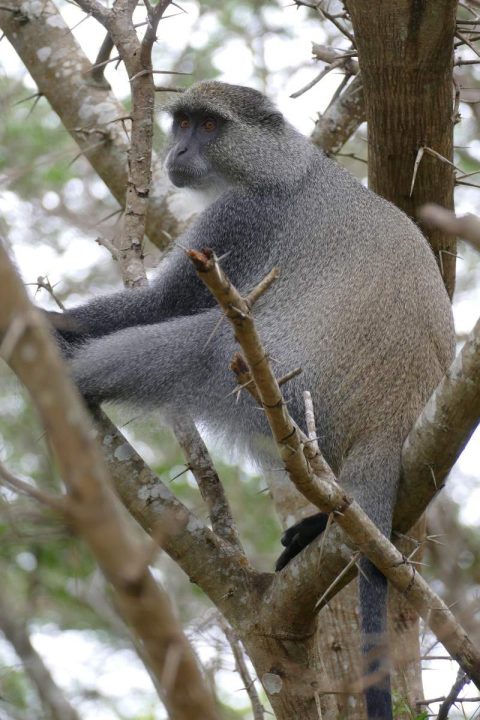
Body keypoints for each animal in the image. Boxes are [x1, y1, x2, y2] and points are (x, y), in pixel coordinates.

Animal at [51, 81, 455, 719]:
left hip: (286, 386)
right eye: (182, 123)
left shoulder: (240, 218)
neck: (287, 166)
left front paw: (43, 324)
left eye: (210, 127)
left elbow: (162, 304)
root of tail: (392, 424)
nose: (178, 151)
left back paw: (76, 378)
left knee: (207, 341)